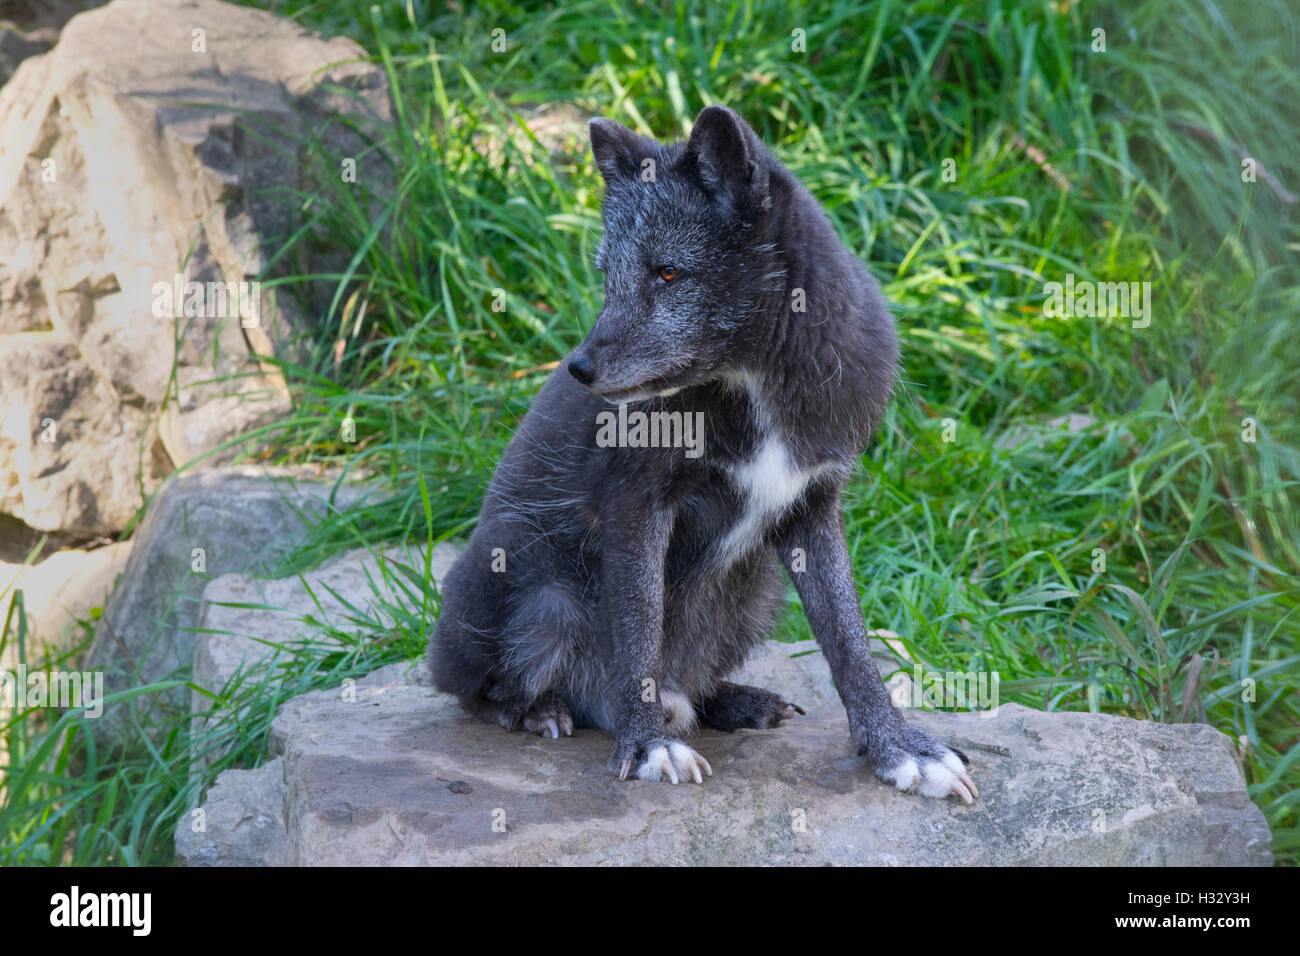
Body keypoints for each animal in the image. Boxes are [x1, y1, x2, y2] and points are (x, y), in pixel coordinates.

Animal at [430, 105, 978, 802]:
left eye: (667, 272)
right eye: (607, 276)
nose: (580, 369)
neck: (756, 387)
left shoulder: (815, 504)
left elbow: (851, 645)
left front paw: (899, 748)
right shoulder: (637, 503)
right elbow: (638, 631)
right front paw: (646, 746)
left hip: (757, 589)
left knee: (689, 676)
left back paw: (729, 702)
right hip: (536, 587)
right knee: (471, 690)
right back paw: (544, 711)